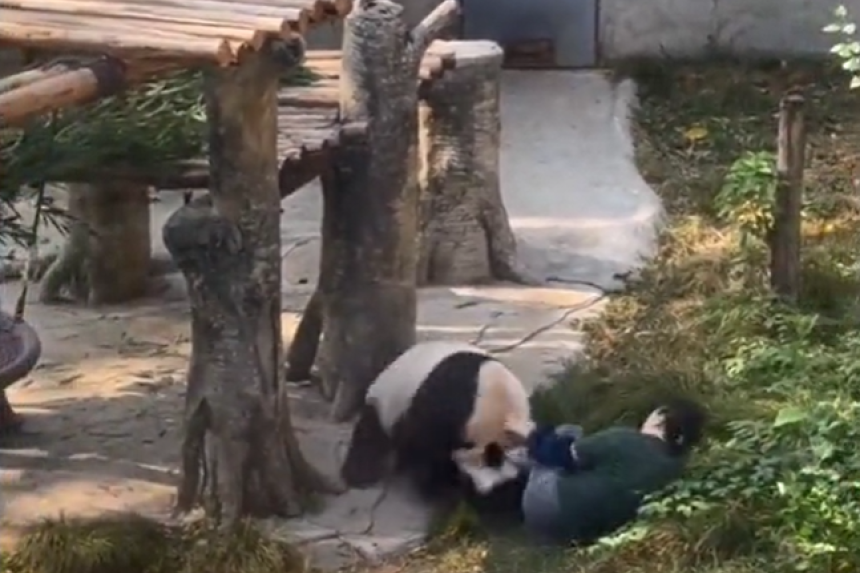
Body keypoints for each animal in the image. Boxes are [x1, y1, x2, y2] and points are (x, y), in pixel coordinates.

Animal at [340, 341, 535, 502]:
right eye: (492, 457)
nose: (485, 491)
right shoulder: (445, 405)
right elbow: (429, 445)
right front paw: (441, 488)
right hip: (388, 400)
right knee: (371, 434)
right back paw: (361, 475)